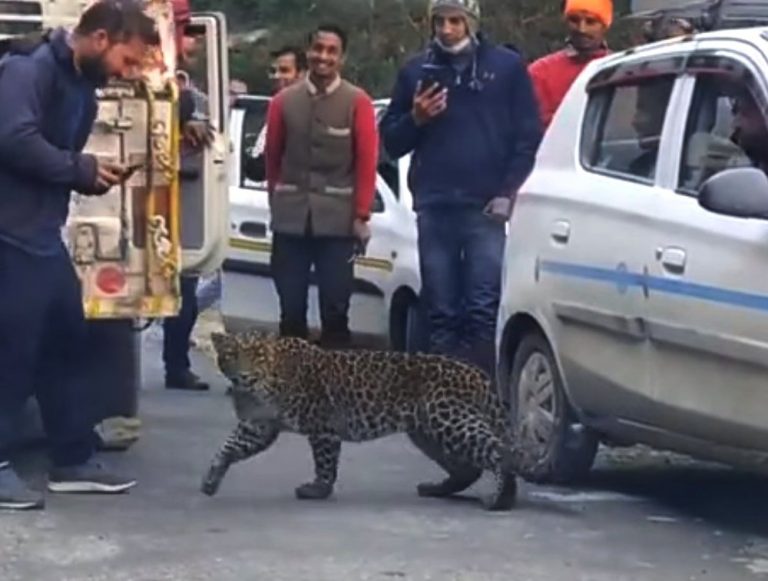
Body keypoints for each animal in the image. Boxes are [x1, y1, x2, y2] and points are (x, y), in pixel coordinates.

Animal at [202, 330, 529, 511]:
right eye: (231, 355)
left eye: (256, 355)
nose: (246, 377)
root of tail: (478, 373)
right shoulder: (259, 427)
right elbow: (228, 448)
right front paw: (210, 481)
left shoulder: (322, 426)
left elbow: (325, 462)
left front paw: (318, 490)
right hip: (427, 432)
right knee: (468, 468)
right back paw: (436, 489)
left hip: (448, 419)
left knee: (500, 451)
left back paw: (500, 499)